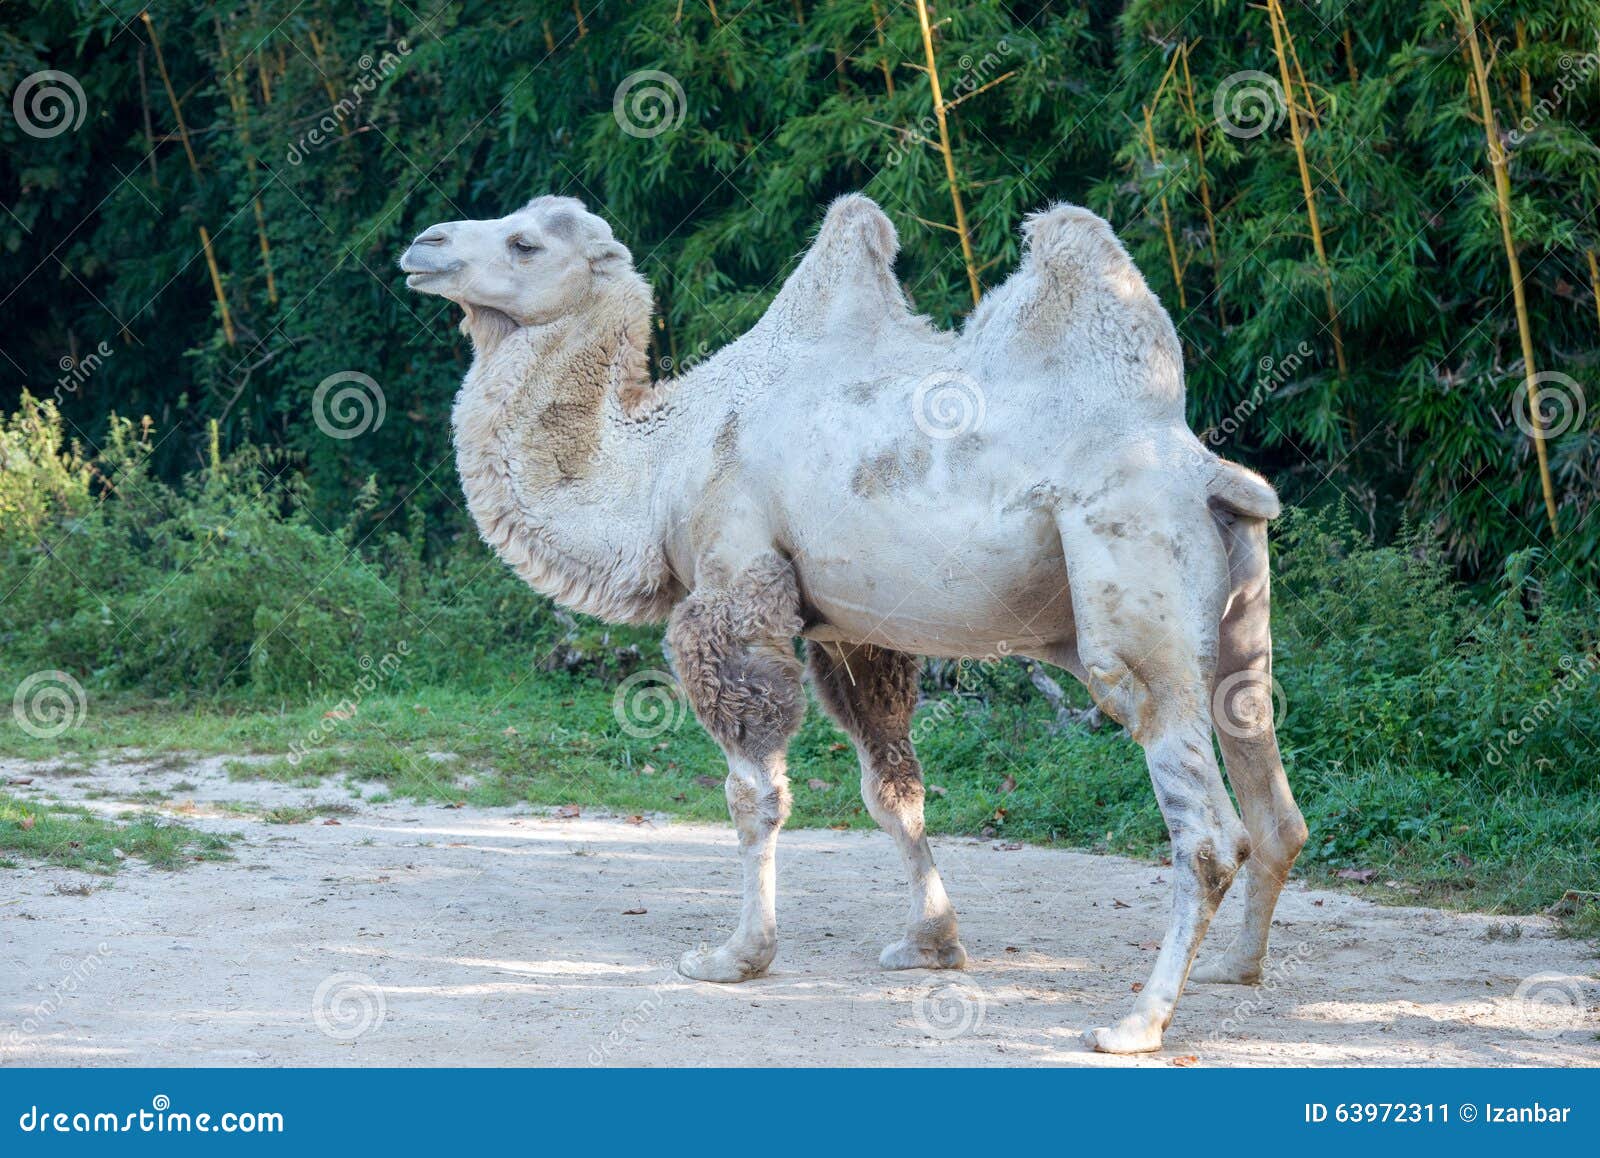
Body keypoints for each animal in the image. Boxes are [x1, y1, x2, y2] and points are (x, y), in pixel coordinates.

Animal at [400, 193, 1307, 1054]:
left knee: (1204, 827)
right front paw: (932, 944)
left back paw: (1137, 1023)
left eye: (525, 242)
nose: (423, 246)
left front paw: (737, 957)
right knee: (1269, 789)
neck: (657, 465)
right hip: (1239, 621)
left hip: (1131, 584)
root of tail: (1202, 472)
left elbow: (754, 793)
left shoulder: (737, 587)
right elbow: (892, 789)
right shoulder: (849, 626)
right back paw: (1236, 968)